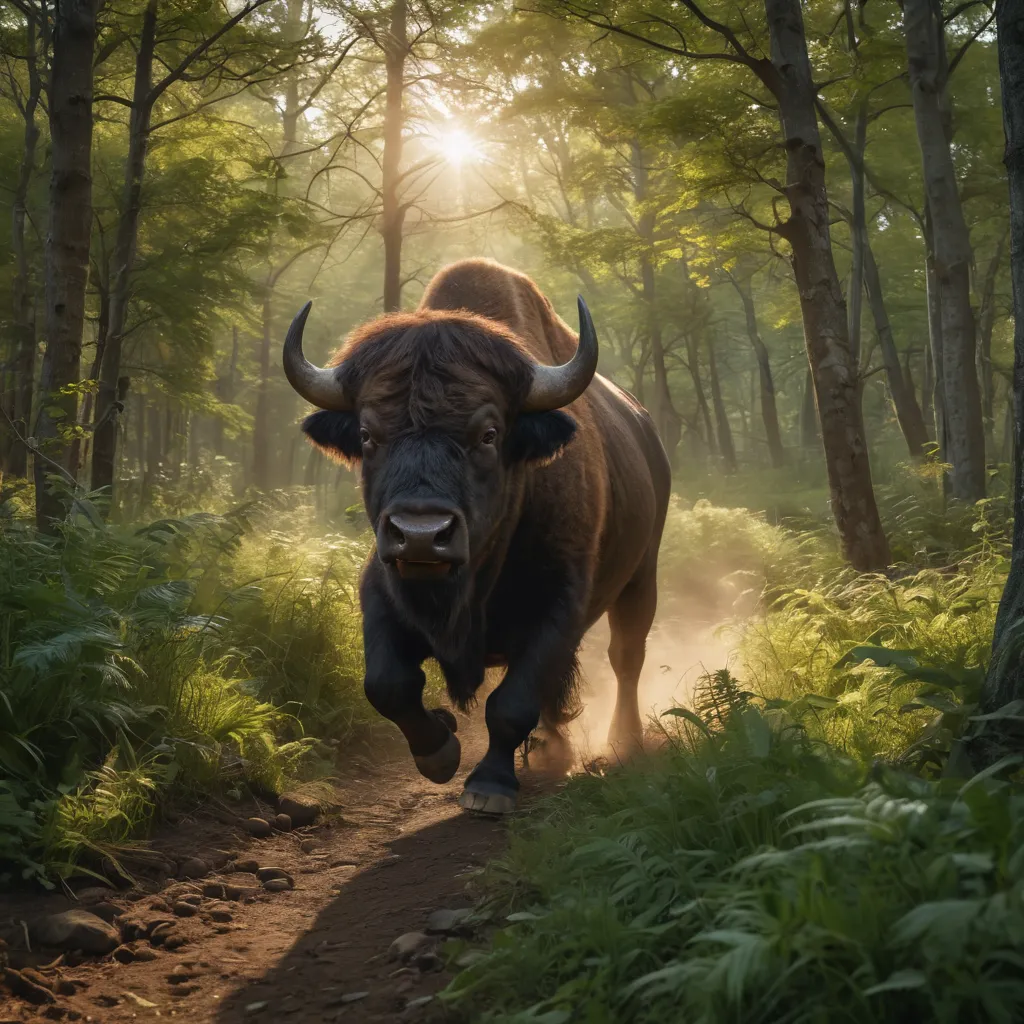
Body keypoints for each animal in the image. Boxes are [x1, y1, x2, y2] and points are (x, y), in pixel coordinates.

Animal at [283, 259, 671, 813]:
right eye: (367, 434)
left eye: (489, 434)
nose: (421, 536)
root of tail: (647, 430)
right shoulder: (381, 593)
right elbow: (387, 684)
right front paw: (440, 750)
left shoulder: (558, 605)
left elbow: (511, 703)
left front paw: (489, 787)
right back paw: (553, 748)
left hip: (642, 577)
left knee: (626, 658)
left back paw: (623, 743)